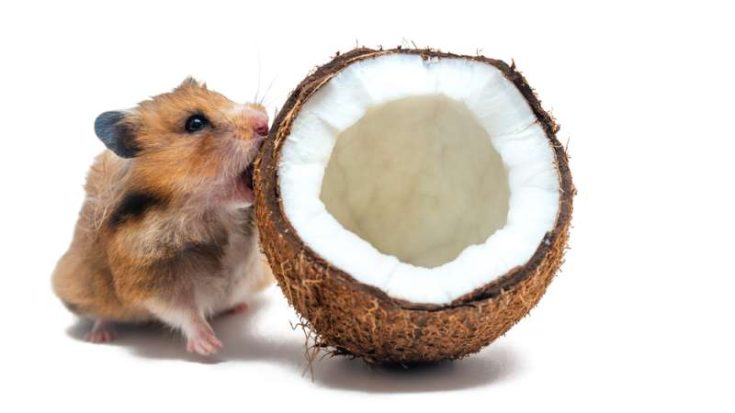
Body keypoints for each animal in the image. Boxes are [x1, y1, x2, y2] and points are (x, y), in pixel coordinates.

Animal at [52, 78, 274, 356]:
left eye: (223, 97)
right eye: (195, 123)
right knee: (100, 315)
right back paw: (100, 336)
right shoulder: (152, 280)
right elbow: (184, 311)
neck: (213, 214)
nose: (264, 123)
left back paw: (239, 307)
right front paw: (210, 346)